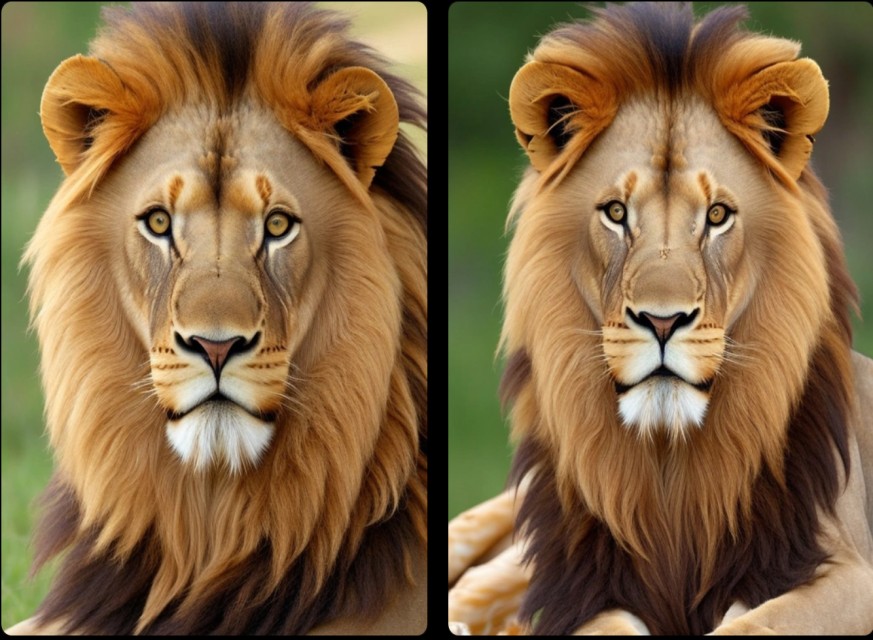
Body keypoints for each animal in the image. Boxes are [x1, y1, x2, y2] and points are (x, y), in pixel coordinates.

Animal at [448, 3, 873, 635]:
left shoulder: (850, 572)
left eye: (718, 215)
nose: (663, 322)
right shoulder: (585, 582)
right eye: (615, 213)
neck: (670, 462)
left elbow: (754, 622)